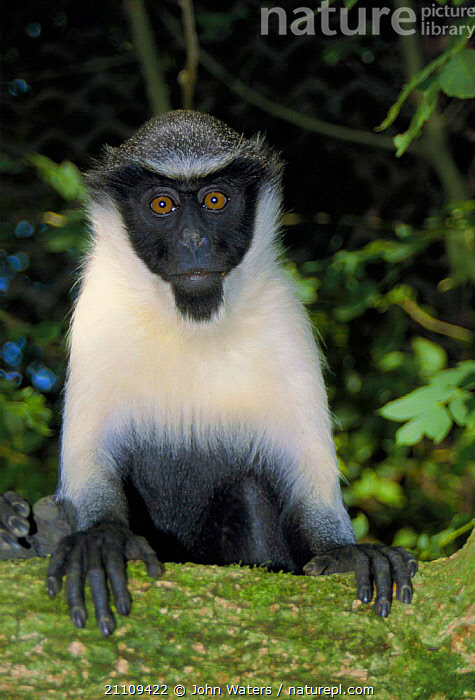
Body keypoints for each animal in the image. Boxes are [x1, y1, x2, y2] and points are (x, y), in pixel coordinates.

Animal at [0, 110, 417, 636]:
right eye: (162, 204)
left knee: (251, 491)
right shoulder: (98, 315)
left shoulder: (286, 324)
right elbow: (90, 474)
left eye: (216, 200)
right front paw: (101, 537)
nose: (194, 241)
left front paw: (345, 551)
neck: (192, 325)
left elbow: (308, 494)